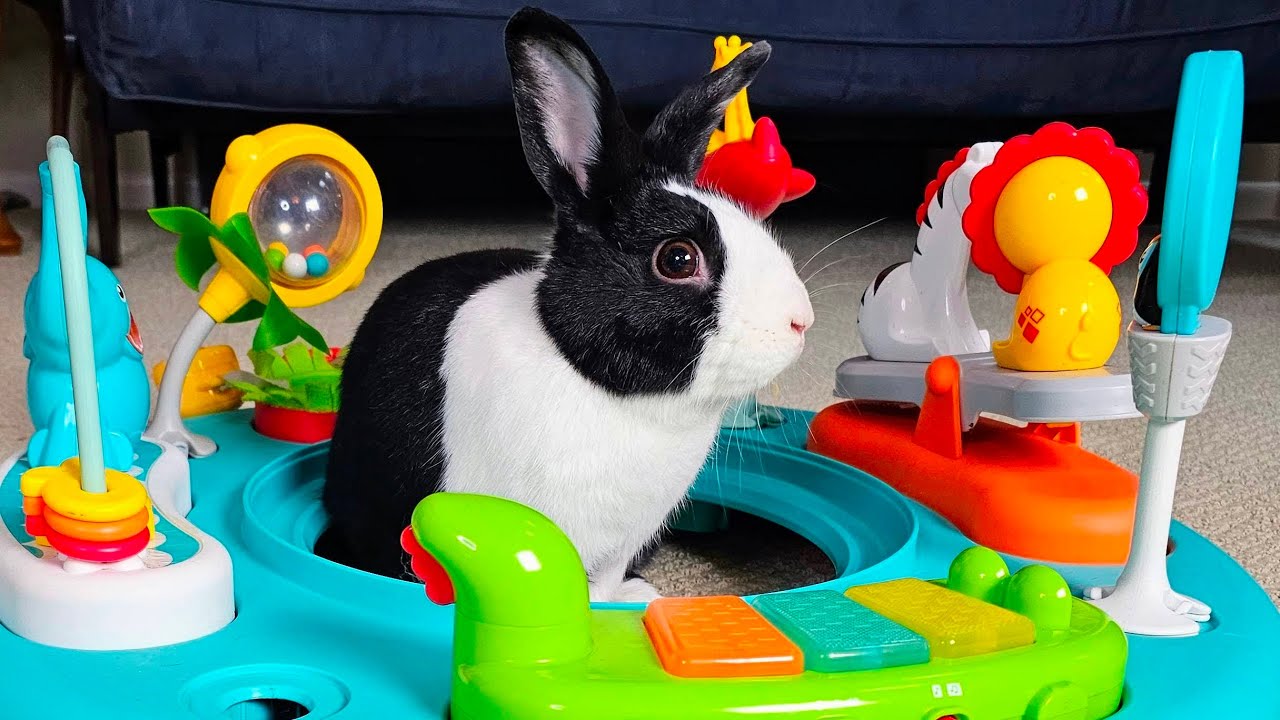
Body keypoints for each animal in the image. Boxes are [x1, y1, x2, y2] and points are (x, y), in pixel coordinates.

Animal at [319, 7, 814, 603]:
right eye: (677, 259)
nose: (801, 321)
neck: (616, 395)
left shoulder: (620, 542)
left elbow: (605, 580)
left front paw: (633, 600)